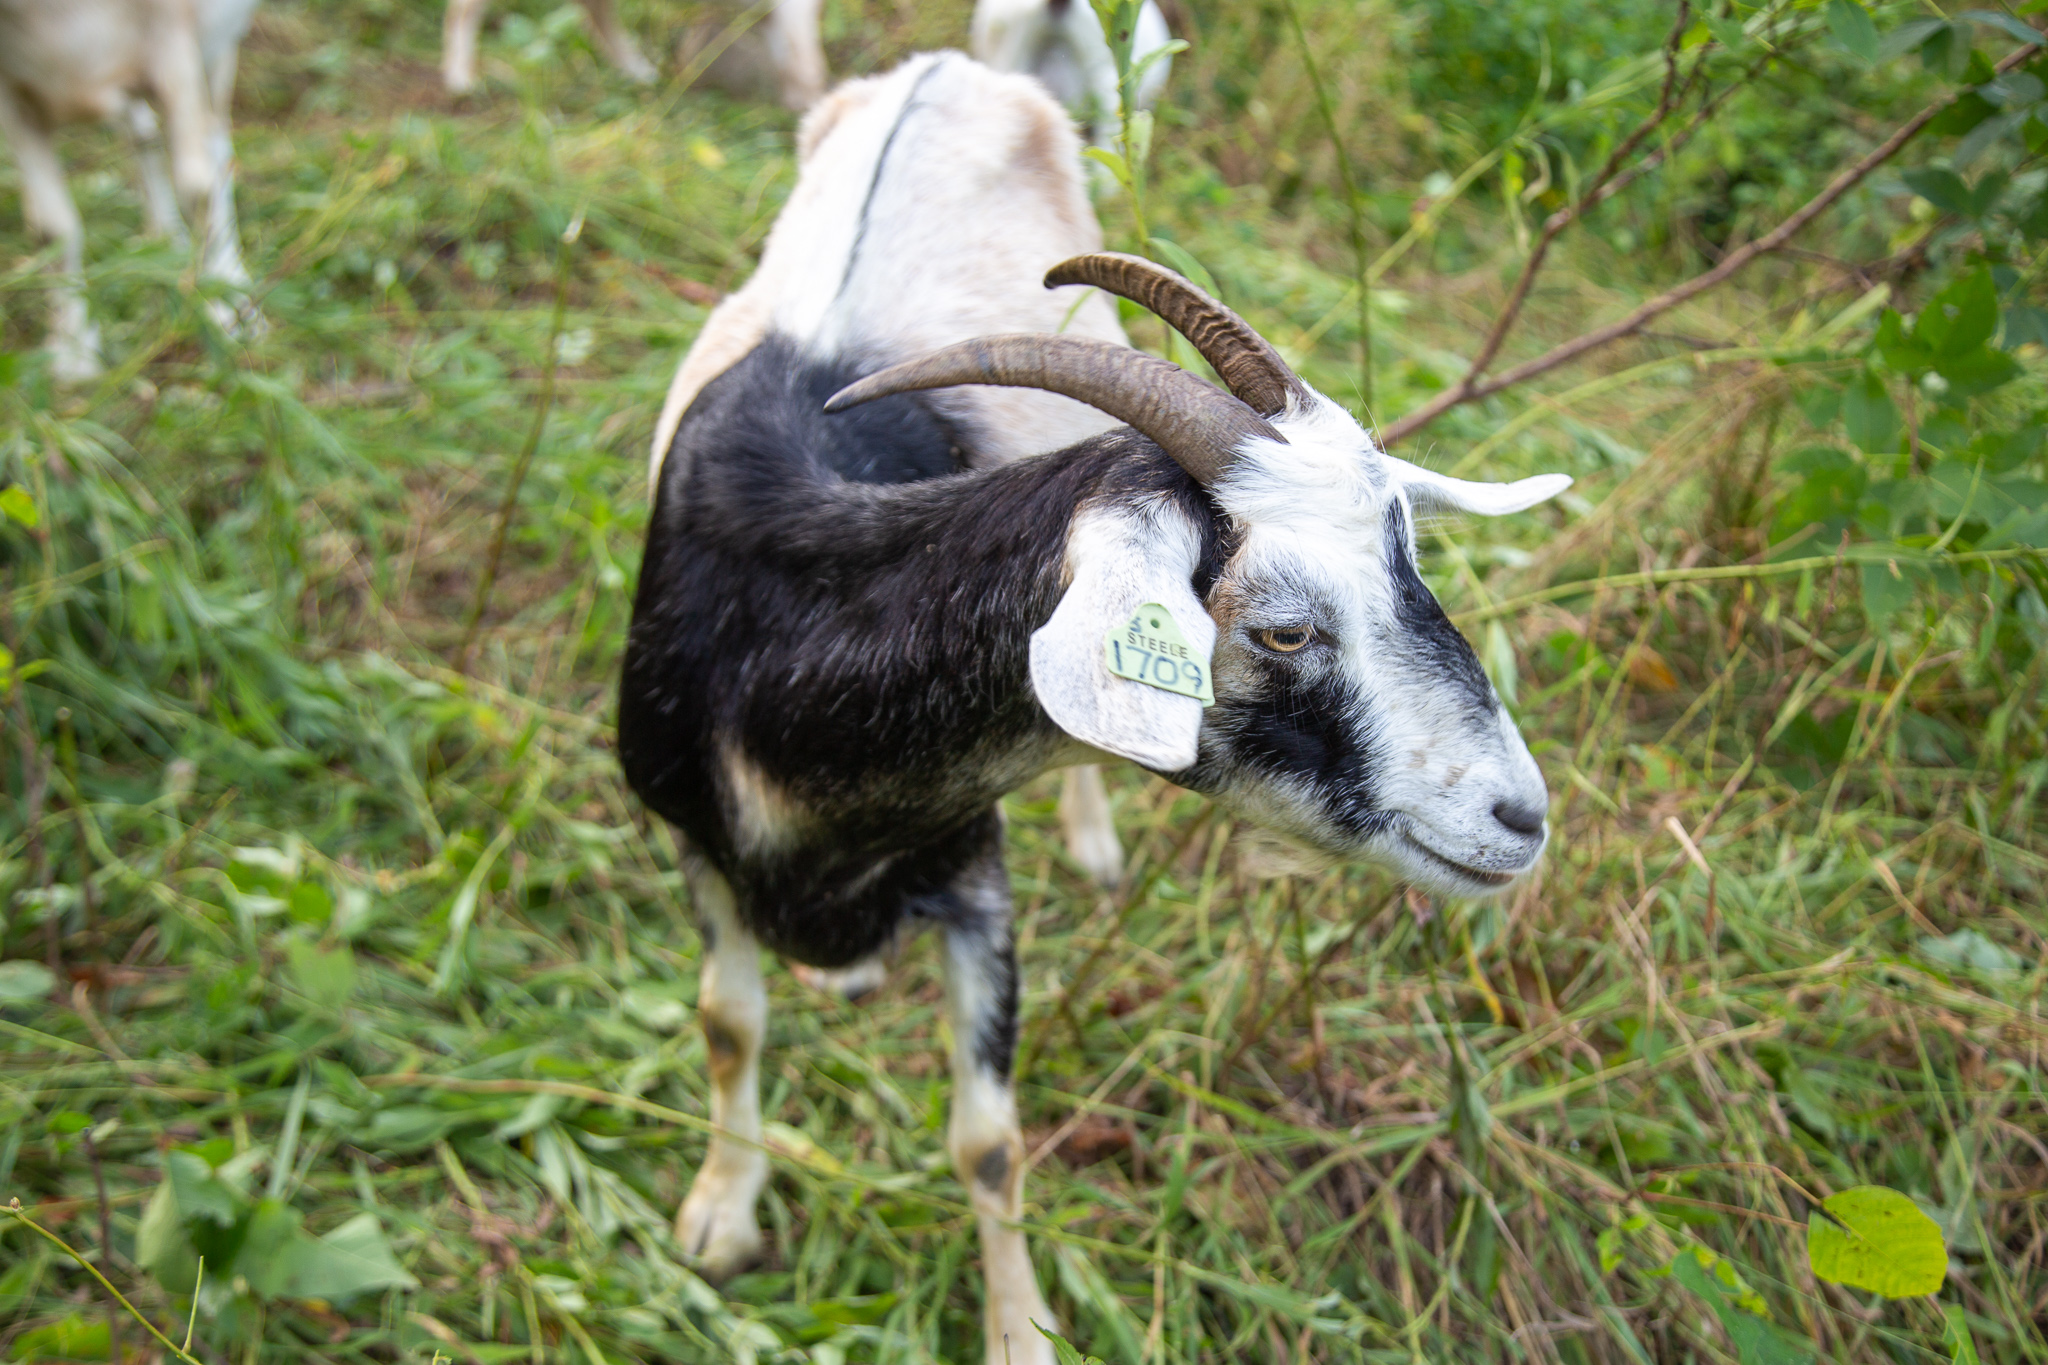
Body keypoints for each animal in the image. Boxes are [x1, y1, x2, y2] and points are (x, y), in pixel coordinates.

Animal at [0, 0, 260, 382]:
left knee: (215, 146)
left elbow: (197, 189)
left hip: (217, 49)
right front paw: (74, 353)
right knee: (142, 133)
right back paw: (164, 242)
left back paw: (233, 283)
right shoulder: (12, 98)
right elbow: (52, 228)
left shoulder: (174, 43)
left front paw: (227, 312)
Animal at [619, 52, 1565, 1365]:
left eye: (1406, 563)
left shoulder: (975, 876)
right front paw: (719, 1214)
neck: (780, 630)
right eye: (1280, 629)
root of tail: (944, 63)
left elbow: (987, 1140)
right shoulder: (692, 836)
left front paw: (1017, 1329)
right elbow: (726, 1023)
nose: (1520, 817)